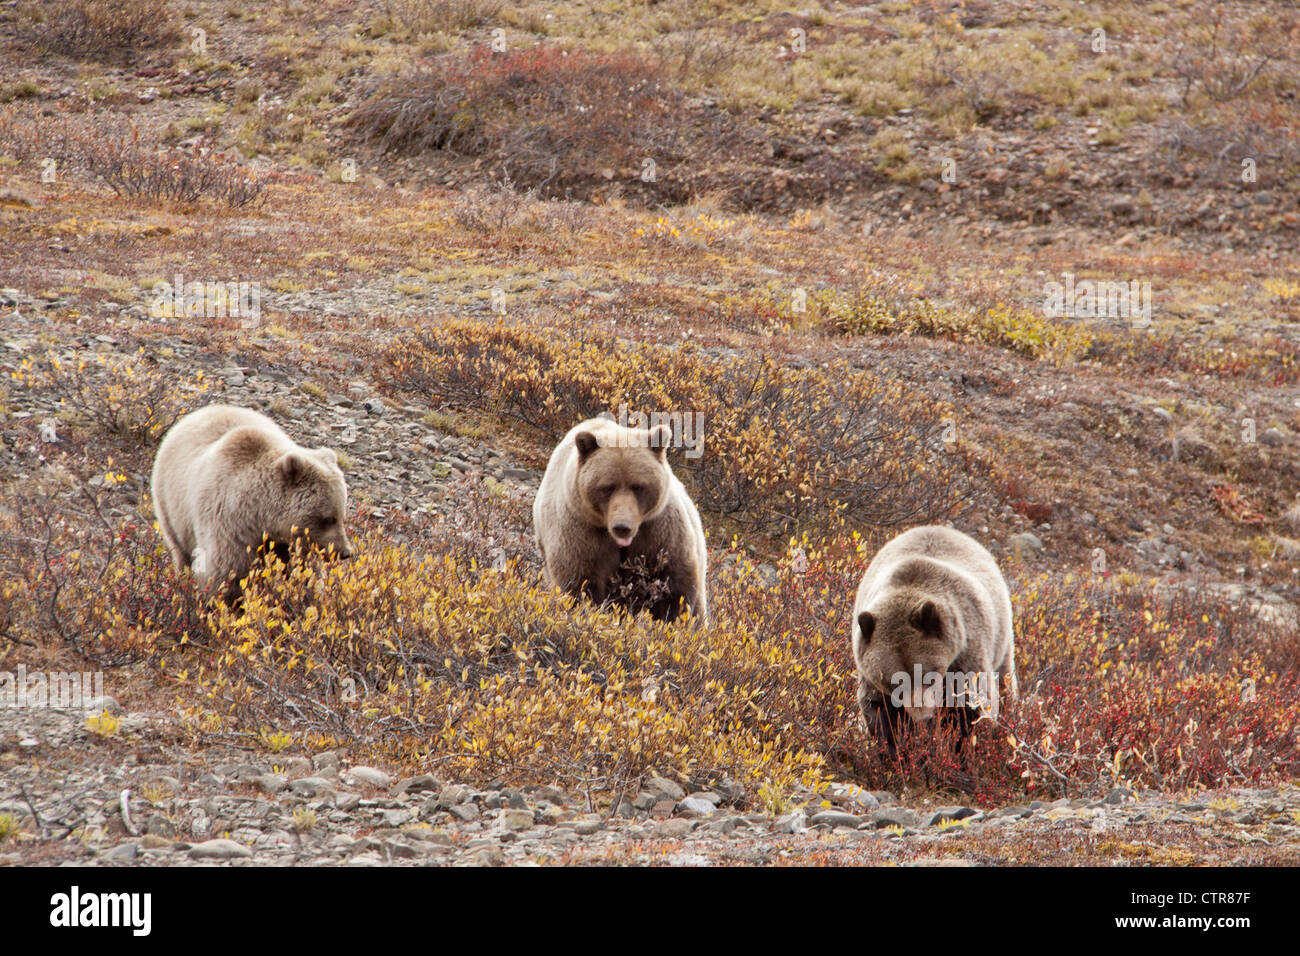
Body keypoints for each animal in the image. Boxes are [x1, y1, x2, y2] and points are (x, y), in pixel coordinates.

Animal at [151, 404, 353, 603]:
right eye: (329, 518)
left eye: (341, 515)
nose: (345, 552)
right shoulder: (229, 527)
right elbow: (226, 576)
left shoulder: (289, 542)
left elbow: (303, 570)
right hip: (170, 508)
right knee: (181, 553)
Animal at [533, 416, 708, 623]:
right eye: (607, 487)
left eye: (638, 486)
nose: (622, 527)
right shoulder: (581, 533)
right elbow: (581, 586)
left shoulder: (660, 532)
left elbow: (676, 590)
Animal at [851, 525, 1015, 753]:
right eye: (894, 682)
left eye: (928, 675)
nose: (923, 716)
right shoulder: (872, 679)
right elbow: (880, 713)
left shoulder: (965, 654)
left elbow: (970, 707)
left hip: (1001, 637)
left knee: (1005, 682)